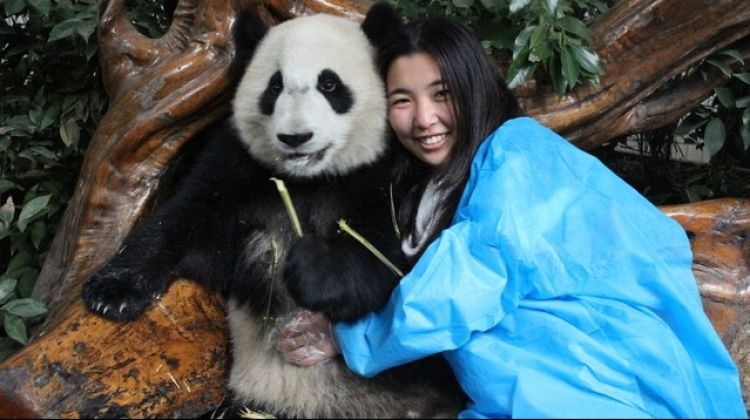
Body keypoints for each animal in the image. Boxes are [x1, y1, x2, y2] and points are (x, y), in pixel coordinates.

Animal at [82, 4, 463, 418]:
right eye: (274, 87)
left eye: (330, 85)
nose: (296, 137)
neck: (307, 179)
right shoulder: (235, 167)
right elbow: (185, 220)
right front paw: (111, 291)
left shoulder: (388, 178)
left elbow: (386, 264)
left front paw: (313, 269)